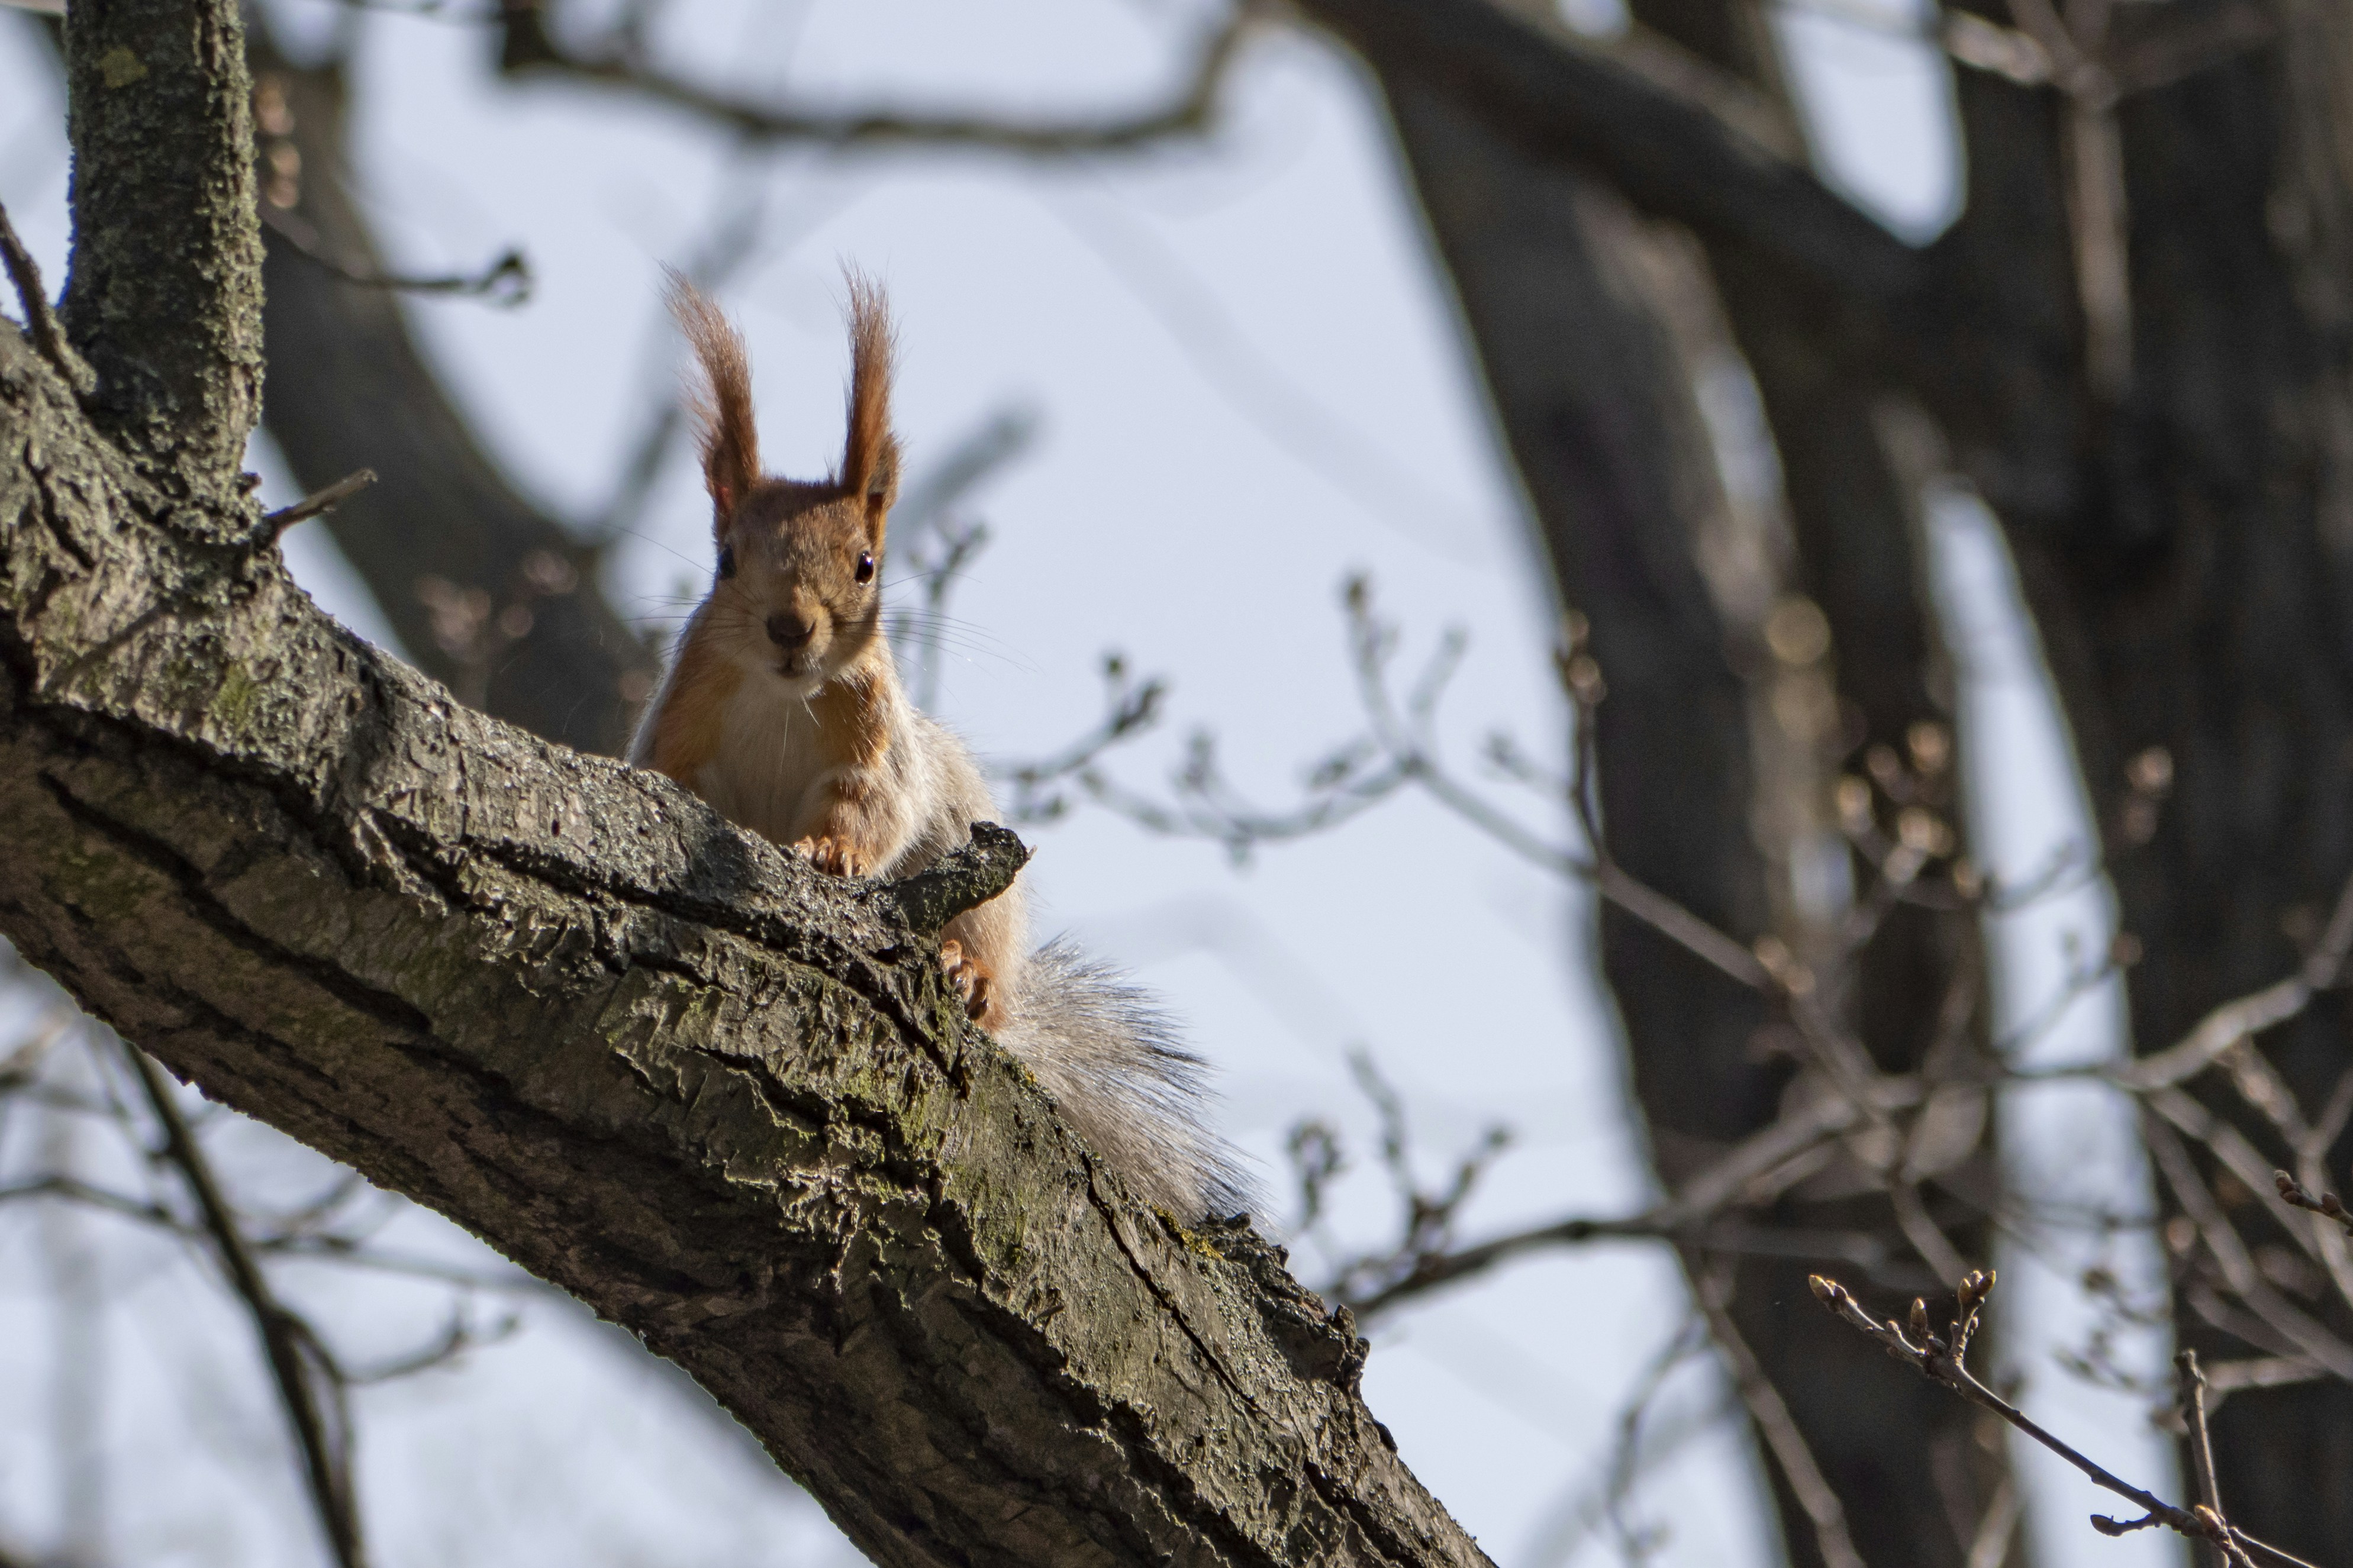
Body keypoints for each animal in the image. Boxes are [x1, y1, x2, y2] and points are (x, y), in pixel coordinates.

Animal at [630, 273, 1258, 1223]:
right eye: (726, 560)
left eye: (865, 564)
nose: (791, 628)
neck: (782, 698)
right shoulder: (683, 710)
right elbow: (670, 778)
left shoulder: (875, 737)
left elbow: (871, 804)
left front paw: (831, 852)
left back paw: (968, 973)